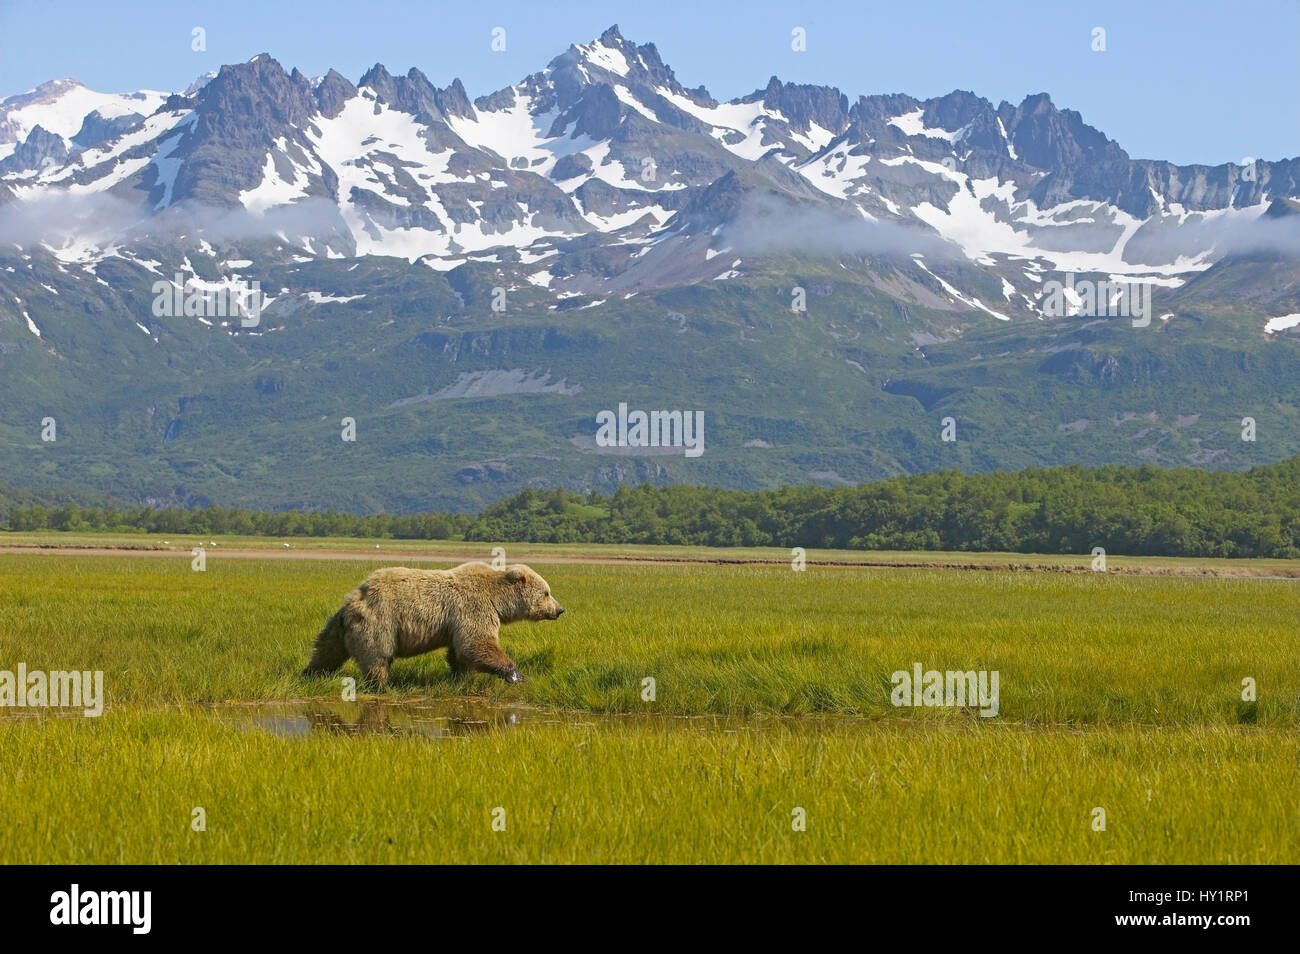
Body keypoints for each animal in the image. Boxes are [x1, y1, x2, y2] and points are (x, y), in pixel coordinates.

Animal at [302, 562, 564, 687]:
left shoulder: (457, 622)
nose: (560, 610)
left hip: (339, 625)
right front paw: (516, 675)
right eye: (547, 593)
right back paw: (379, 685)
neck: (497, 599)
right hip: (379, 621)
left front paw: (460, 677)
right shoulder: (474, 608)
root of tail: (354, 600)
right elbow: (477, 643)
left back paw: (309, 673)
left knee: (326, 651)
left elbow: (460, 652)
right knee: (377, 656)